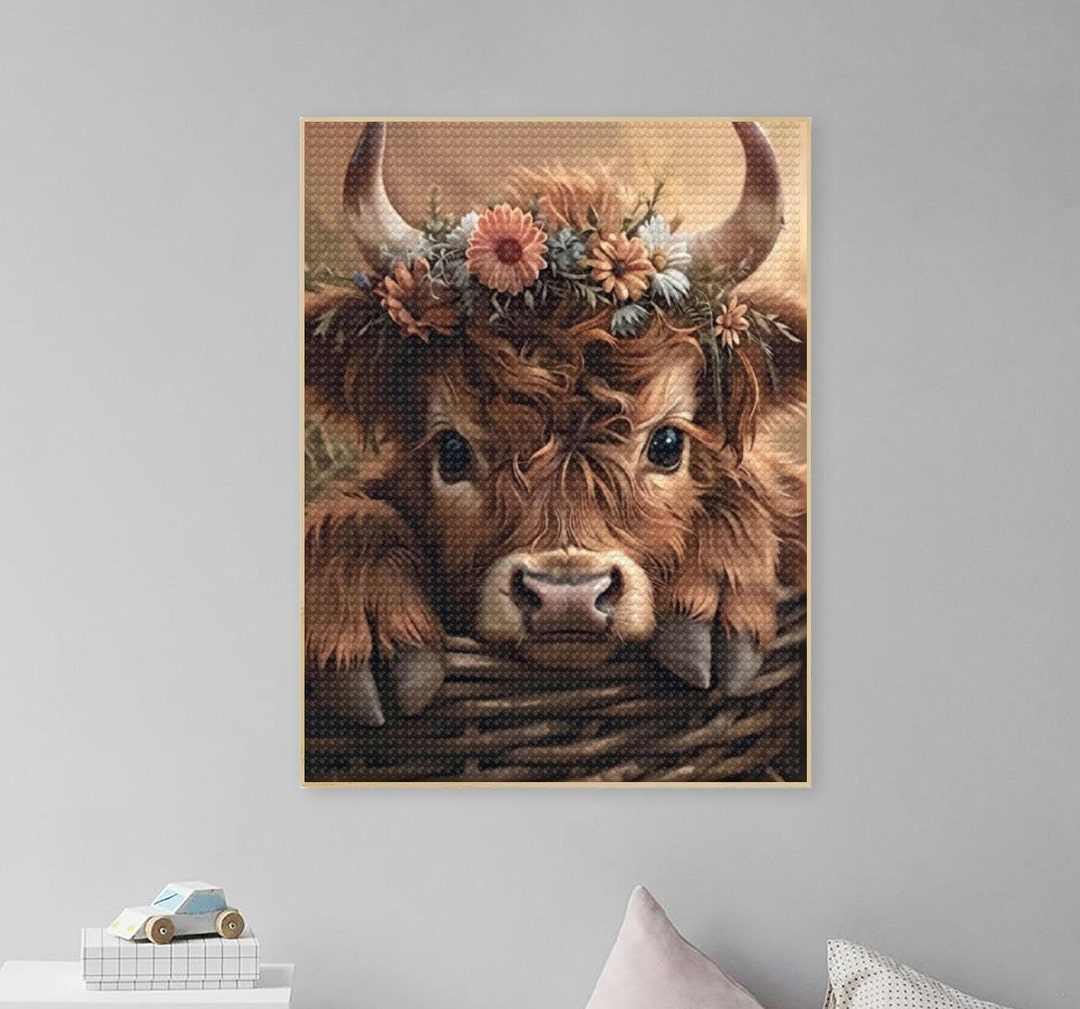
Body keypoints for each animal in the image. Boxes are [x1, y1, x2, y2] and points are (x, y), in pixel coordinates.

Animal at [304, 122, 806, 727]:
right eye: (452, 450)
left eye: (667, 444)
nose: (569, 597)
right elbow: (354, 513)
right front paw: (366, 628)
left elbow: (747, 487)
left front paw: (714, 603)